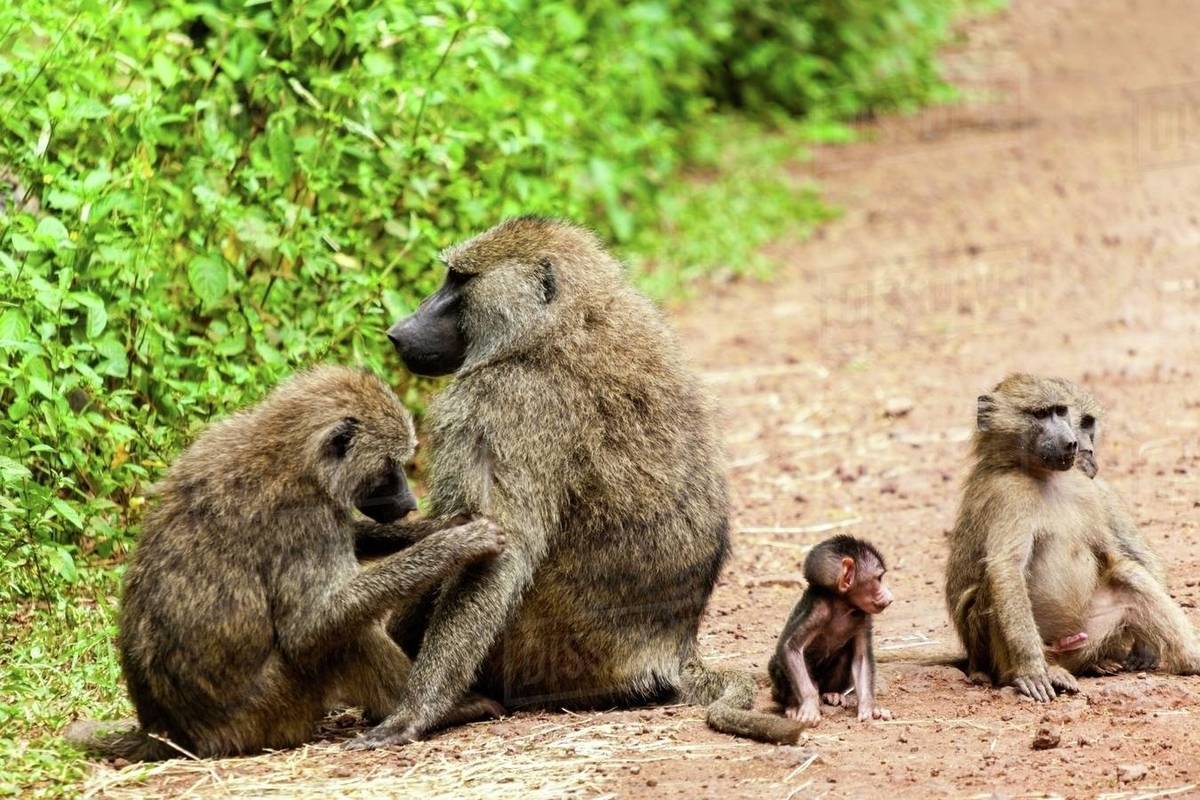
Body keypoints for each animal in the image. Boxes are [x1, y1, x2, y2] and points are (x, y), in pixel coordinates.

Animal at [65, 366, 505, 761]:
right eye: (389, 465)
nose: (411, 503)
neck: (291, 451)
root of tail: (167, 732)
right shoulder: (305, 520)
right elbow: (307, 629)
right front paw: (456, 543)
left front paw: (445, 525)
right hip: (270, 710)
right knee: (347, 638)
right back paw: (445, 710)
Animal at [350, 216, 803, 748]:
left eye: (459, 281)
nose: (398, 332)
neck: (566, 320)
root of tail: (673, 653)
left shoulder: (503, 404)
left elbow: (497, 552)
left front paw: (412, 713)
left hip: (543, 658)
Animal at [768, 536, 893, 725]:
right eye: (878, 578)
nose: (890, 597)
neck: (842, 605)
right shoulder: (818, 610)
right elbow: (790, 648)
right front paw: (809, 706)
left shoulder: (863, 616)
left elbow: (861, 657)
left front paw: (868, 708)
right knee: (778, 663)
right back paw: (793, 705)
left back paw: (833, 694)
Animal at [944, 373, 1200, 701]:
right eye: (1040, 414)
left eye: (1061, 412)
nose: (1076, 445)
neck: (1044, 476)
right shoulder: (1008, 495)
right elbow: (1006, 569)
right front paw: (1032, 671)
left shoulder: (1090, 492)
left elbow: (1117, 555)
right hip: (1005, 653)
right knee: (996, 586)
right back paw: (1044, 672)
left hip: (1090, 635)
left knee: (1128, 576)